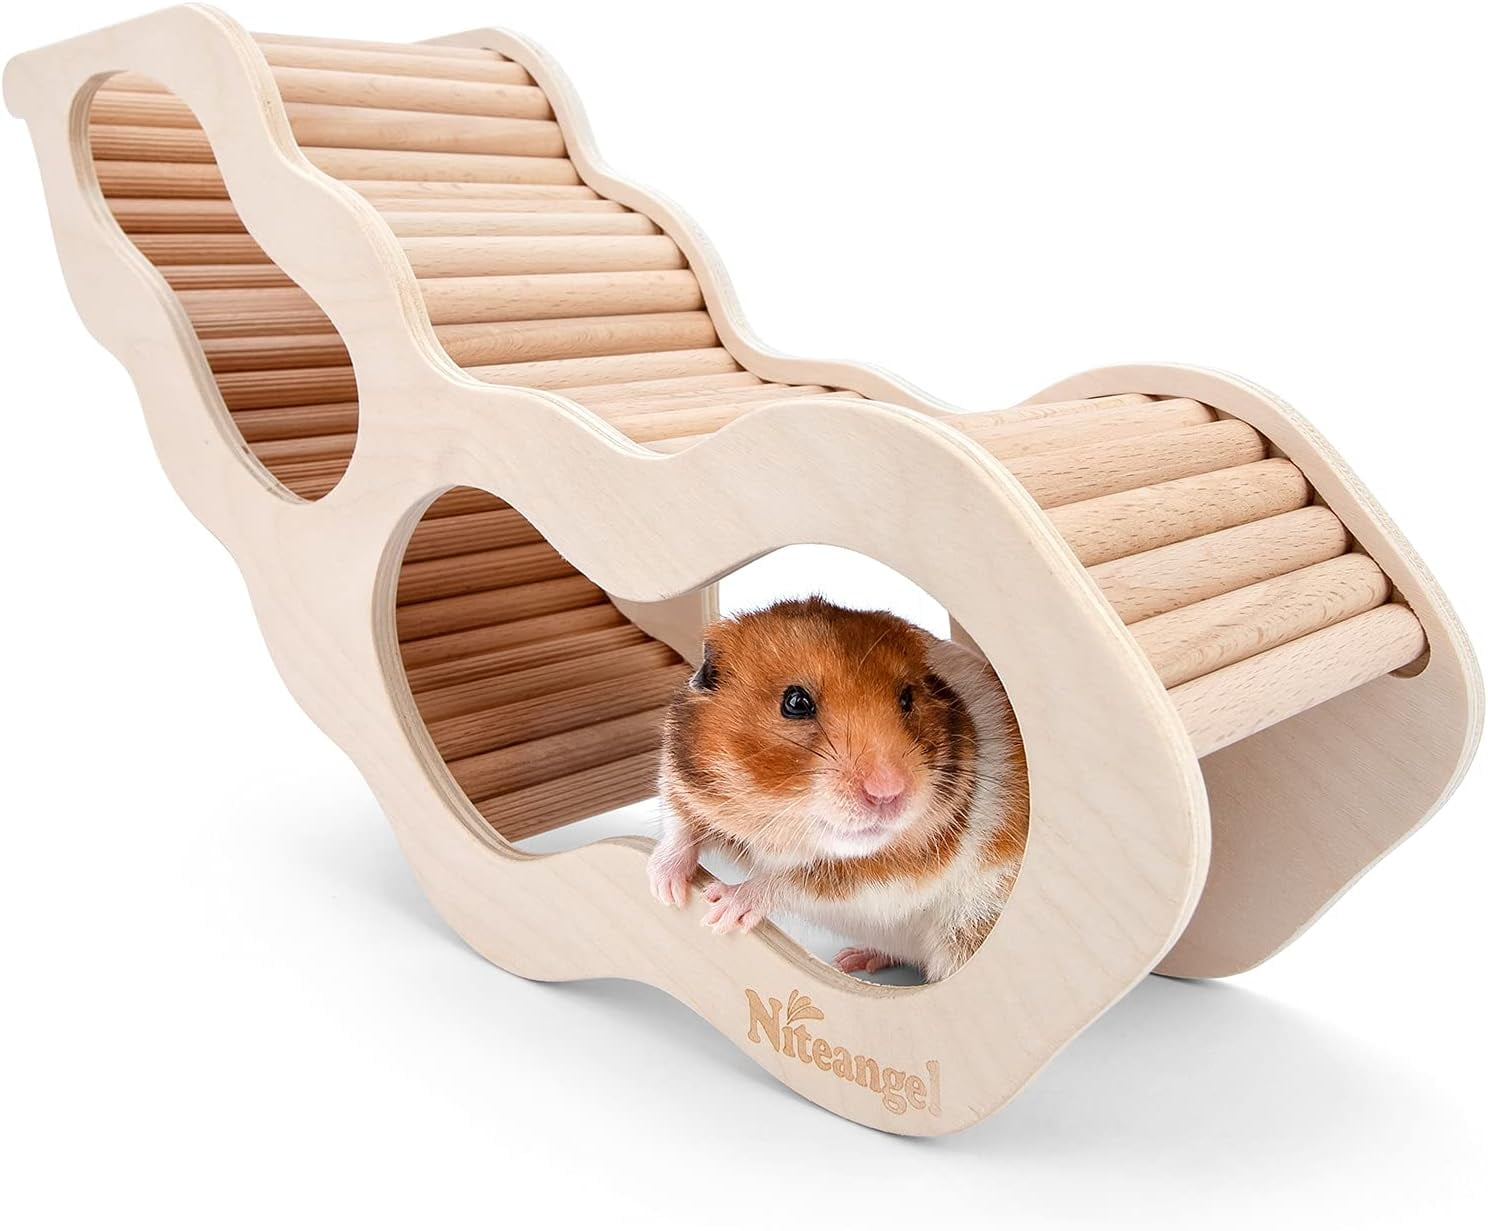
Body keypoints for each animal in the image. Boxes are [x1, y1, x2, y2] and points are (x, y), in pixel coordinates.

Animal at [647, 597, 1028, 982]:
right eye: (795, 702)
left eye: (907, 699)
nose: (888, 793)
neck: (781, 825)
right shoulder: (682, 781)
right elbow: (680, 826)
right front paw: (665, 891)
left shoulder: (885, 878)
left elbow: (789, 882)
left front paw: (721, 909)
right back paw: (853, 958)